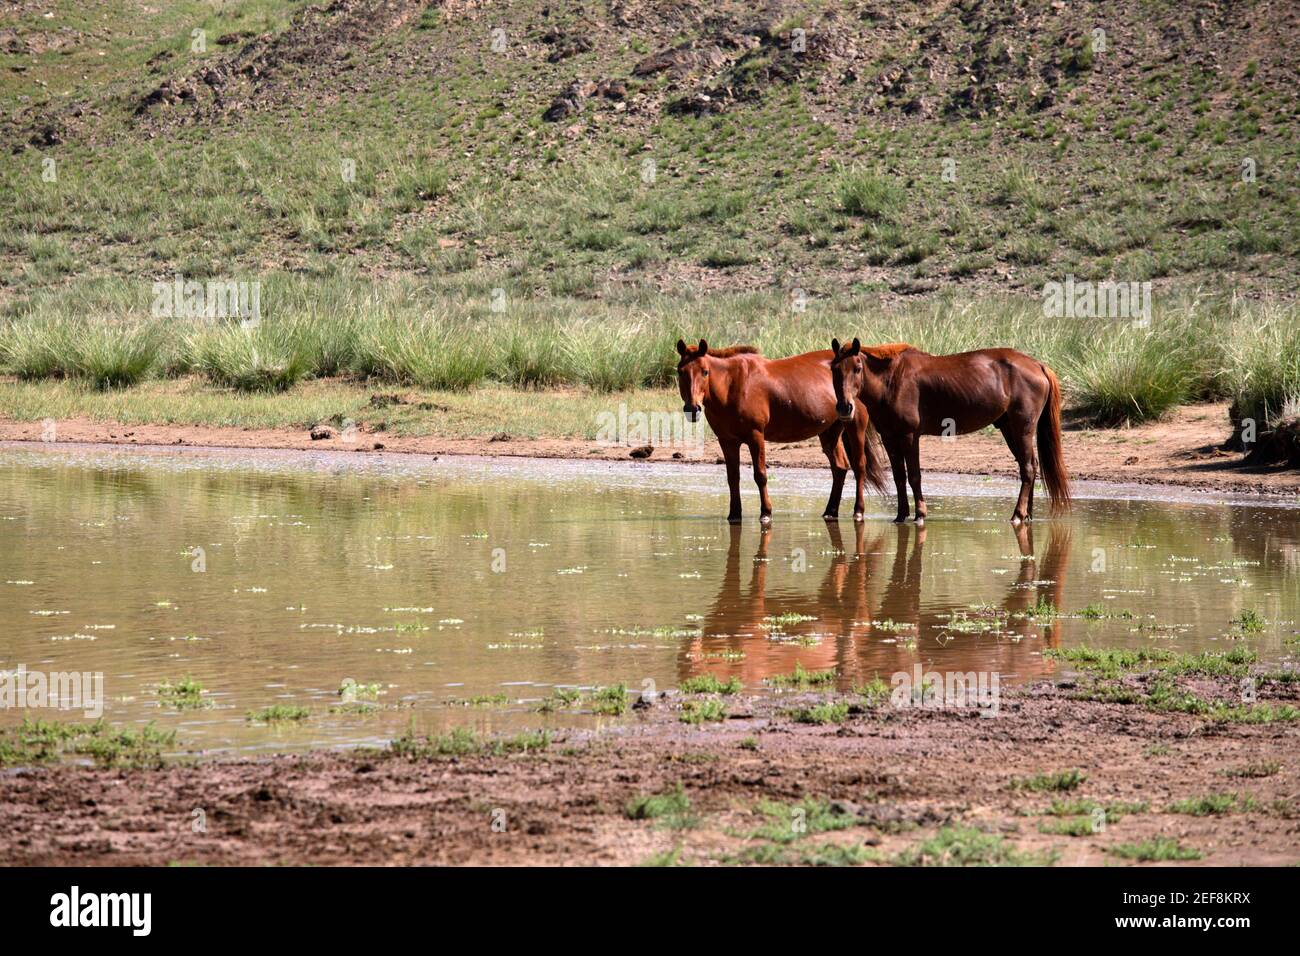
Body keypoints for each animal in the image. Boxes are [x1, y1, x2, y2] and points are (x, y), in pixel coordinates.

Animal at [676, 338, 885, 524]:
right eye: (680, 372)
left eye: (705, 372)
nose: (692, 408)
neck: (732, 385)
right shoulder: (727, 441)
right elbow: (733, 478)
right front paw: (734, 514)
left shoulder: (755, 436)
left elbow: (760, 475)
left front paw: (766, 512)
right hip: (830, 432)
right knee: (840, 468)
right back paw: (830, 511)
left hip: (855, 426)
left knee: (859, 466)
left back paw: (858, 511)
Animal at [829, 338, 1070, 525]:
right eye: (834, 370)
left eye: (857, 368)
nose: (844, 407)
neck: (891, 380)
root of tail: (1038, 365)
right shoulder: (889, 437)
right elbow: (899, 476)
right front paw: (901, 515)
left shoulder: (909, 436)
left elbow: (914, 476)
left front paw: (920, 514)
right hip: (1009, 428)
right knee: (1029, 466)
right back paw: (1027, 514)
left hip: (1022, 428)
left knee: (1028, 468)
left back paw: (1018, 514)